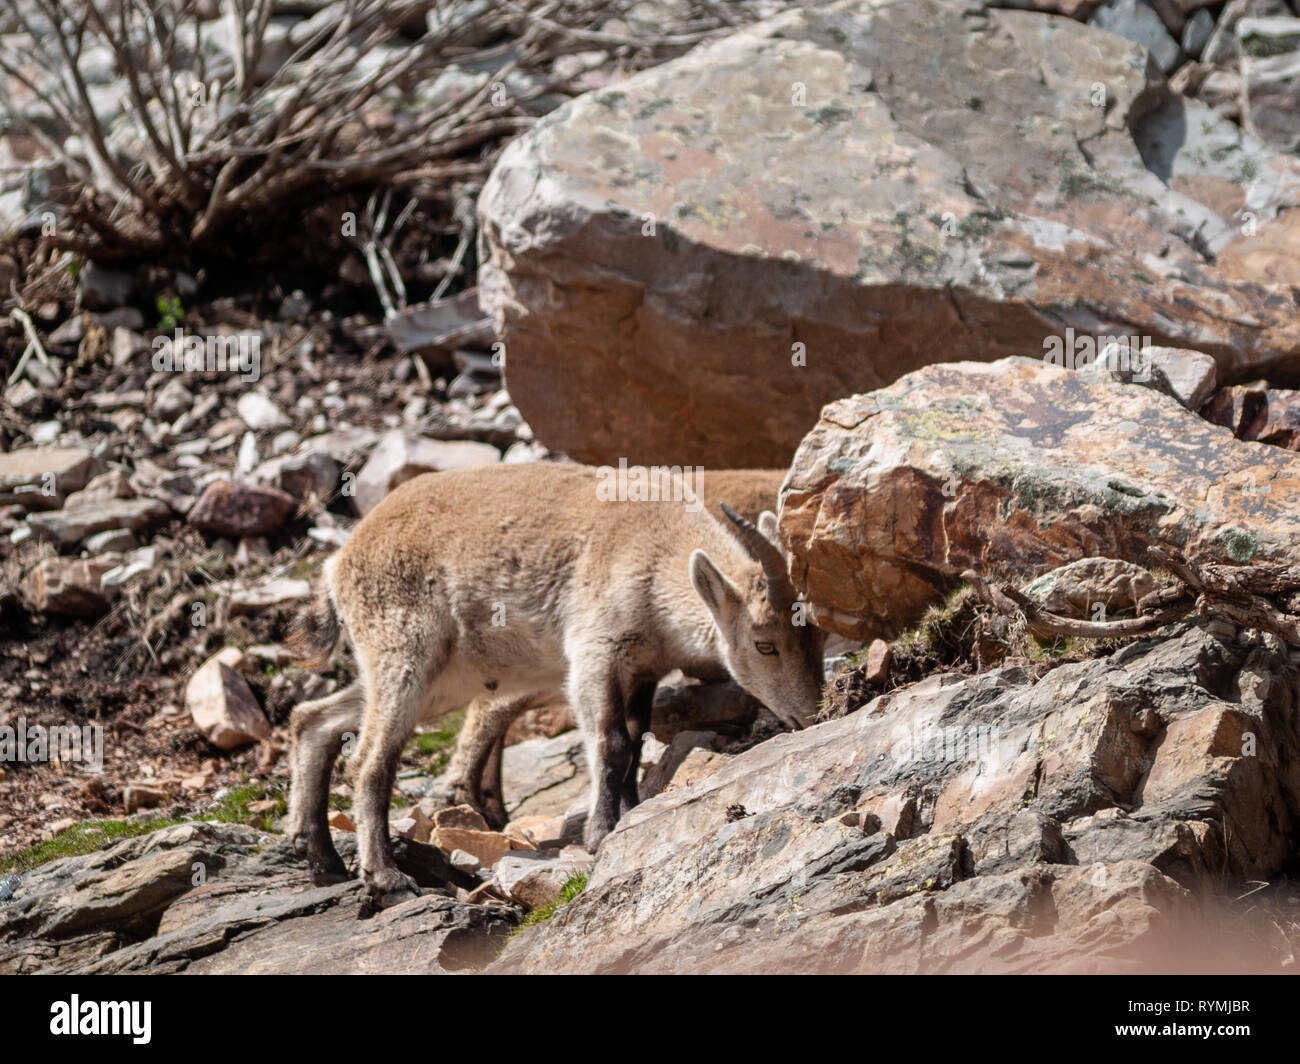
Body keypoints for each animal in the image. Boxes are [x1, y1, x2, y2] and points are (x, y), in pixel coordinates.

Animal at [287, 462, 823, 906]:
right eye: (765, 645)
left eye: (816, 635)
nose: (811, 714)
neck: (654, 560)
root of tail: (339, 562)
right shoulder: (595, 652)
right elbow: (611, 743)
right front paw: (600, 833)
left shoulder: (643, 671)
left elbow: (635, 741)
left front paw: (630, 812)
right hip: (403, 652)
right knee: (368, 761)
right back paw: (385, 878)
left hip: (439, 677)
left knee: (315, 719)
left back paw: (322, 860)